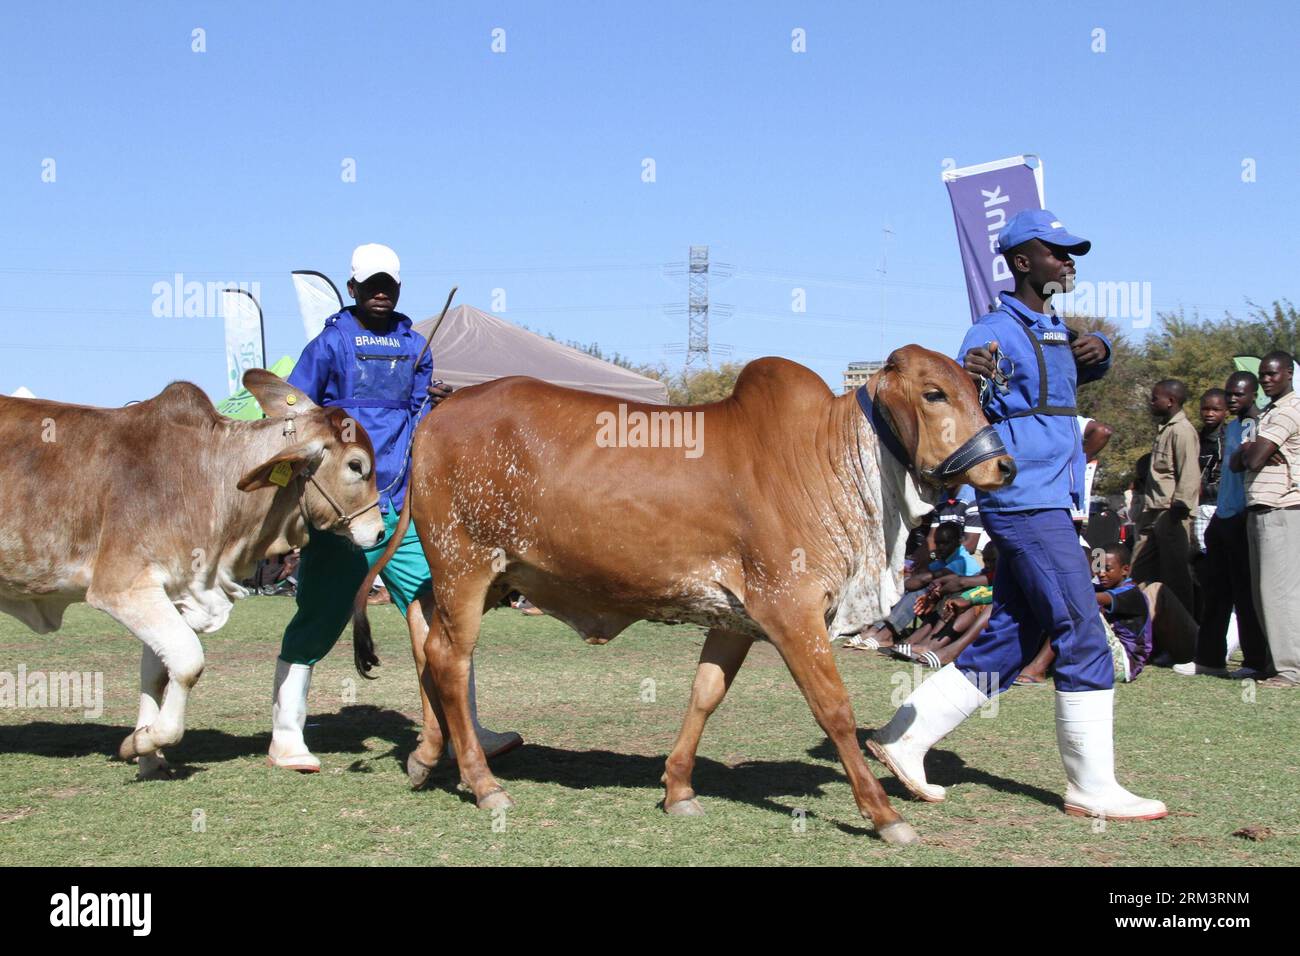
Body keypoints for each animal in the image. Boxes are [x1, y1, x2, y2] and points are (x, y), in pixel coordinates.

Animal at [0, 370, 384, 778]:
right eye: (356, 466)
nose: (379, 532)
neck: (209, 477)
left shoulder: (172, 591)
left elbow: (157, 673)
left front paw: (148, 755)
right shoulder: (122, 587)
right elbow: (187, 663)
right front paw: (145, 741)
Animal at [354, 346, 1013, 844]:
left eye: (978, 392)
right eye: (934, 393)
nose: (1003, 466)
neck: (832, 462)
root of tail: (437, 414)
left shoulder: (734, 618)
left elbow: (705, 695)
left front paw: (678, 790)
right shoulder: (791, 607)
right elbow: (835, 710)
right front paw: (884, 815)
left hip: (483, 577)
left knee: (424, 637)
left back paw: (425, 757)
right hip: (465, 567)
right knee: (450, 658)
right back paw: (483, 782)